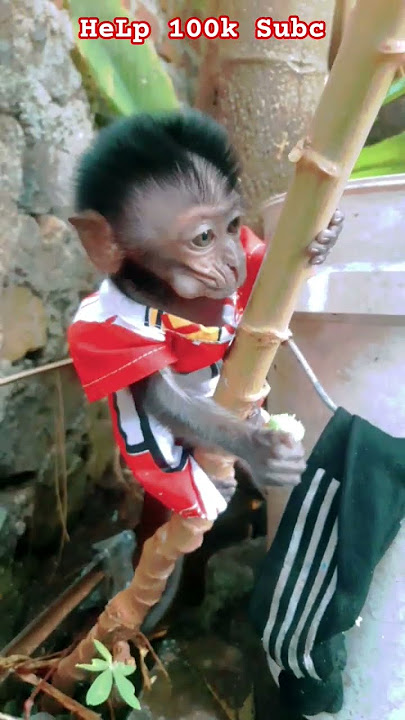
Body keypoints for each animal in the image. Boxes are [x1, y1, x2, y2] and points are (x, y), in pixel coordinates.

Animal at [67, 110, 343, 521]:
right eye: (203, 239)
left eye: (232, 227)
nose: (233, 262)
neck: (168, 291)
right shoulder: (115, 328)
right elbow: (160, 395)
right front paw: (257, 450)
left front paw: (325, 241)